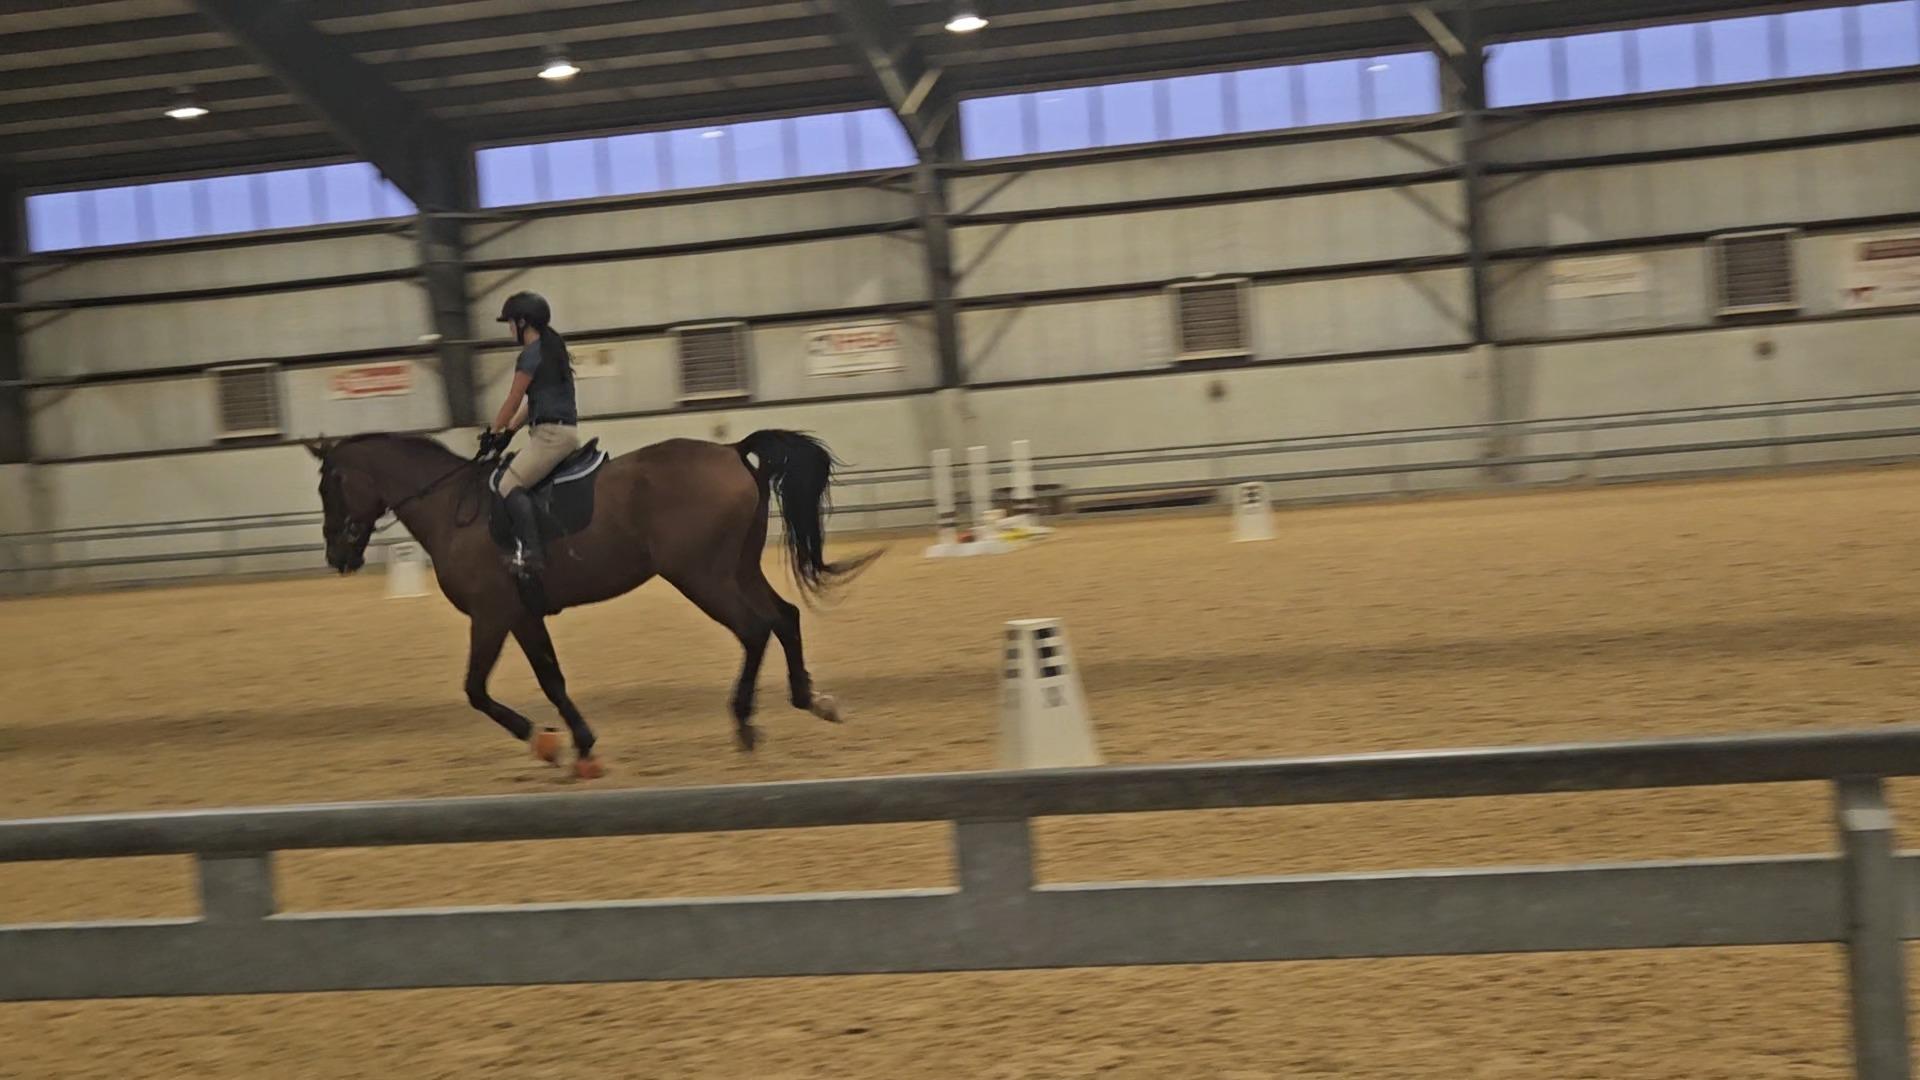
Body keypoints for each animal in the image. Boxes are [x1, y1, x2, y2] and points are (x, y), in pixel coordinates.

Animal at [306, 429, 878, 777]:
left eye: (329, 486)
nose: (337, 554)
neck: (453, 510)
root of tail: (733, 452)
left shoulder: (493, 615)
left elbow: (476, 689)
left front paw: (543, 740)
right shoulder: (522, 615)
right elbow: (551, 678)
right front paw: (577, 744)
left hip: (702, 577)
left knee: (755, 629)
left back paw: (743, 723)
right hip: (738, 569)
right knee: (785, 617)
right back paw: (811, 700)